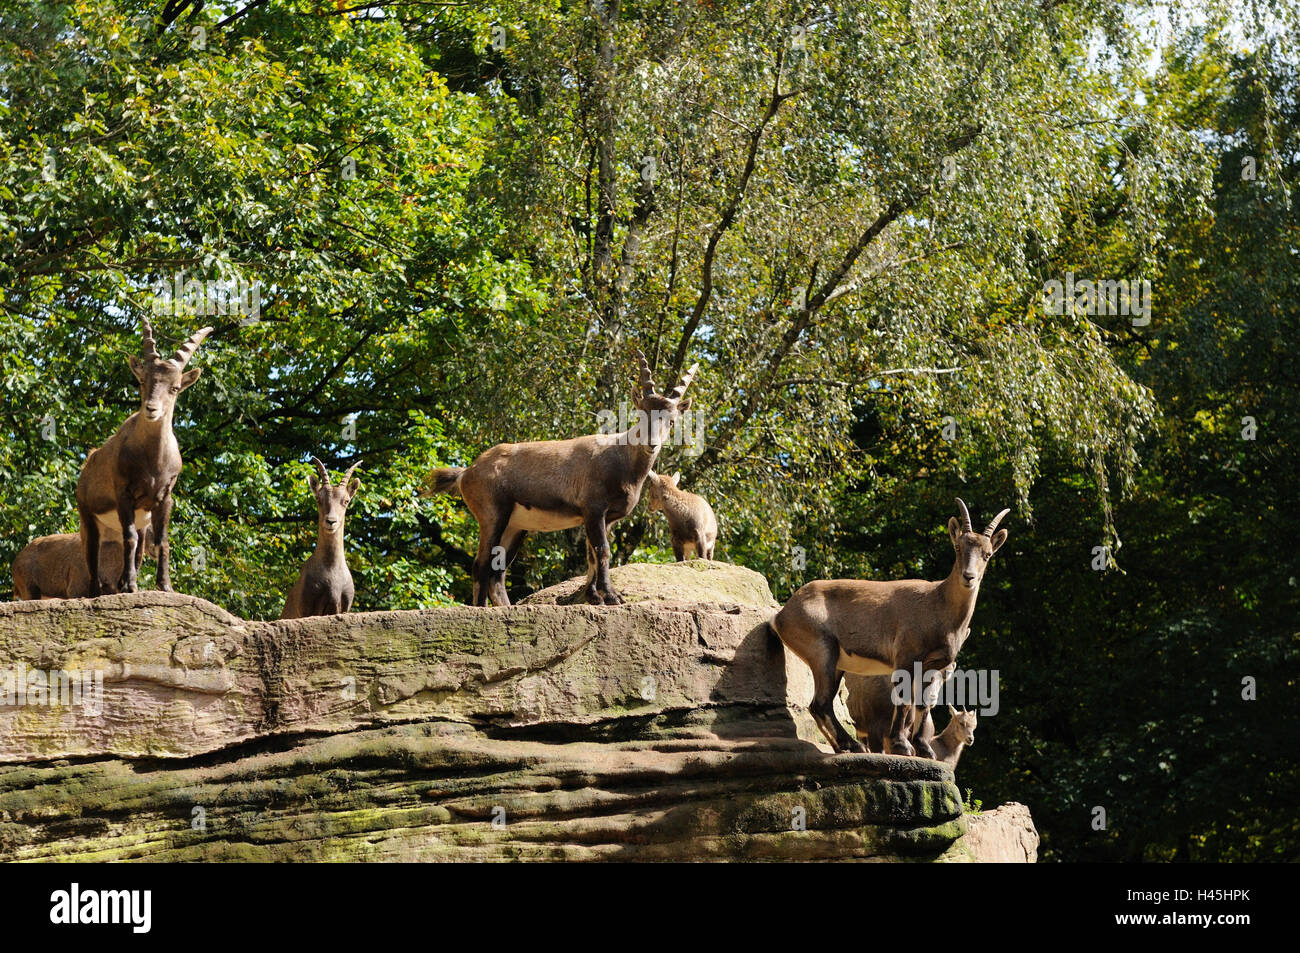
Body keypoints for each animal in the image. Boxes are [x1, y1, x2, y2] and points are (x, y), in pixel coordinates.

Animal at [75, 318, 212, 595]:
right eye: (142, 382)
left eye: (175, 387)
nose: (151, 409)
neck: (153, 463)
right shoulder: (123, 494)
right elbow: (129, 537)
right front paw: (132, 586)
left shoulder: (165, 499)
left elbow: (162, 541)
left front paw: (165, 585)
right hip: (88, 518)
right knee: (94, 556)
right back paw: (101, 590)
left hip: (138, 523)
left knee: (137, 547)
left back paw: (122, 582)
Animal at [280, 458, 361, 620]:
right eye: (318, 498)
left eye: (346, 501)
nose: (331, 521)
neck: (331, 570)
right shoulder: (306, 607)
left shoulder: (344, 606)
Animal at [424, 351, 699, 606]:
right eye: (642, 414)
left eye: (671, 421)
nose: (652, 444)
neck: (621, 460)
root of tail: (467, 472)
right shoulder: (593, 509)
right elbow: (602, 551)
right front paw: (611, 596)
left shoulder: (606, 518)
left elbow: (591, 555)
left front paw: (593, 596)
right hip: (492, 514)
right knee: (480, 565)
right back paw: (481, 609)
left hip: (515, 526)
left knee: (497, 572)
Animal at [770, 499, 1008, 755]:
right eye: (957, 548)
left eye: (987, 554)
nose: (969, 577)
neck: (938, 604)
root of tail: (782, 614)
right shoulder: (905, 656)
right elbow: (903, 701)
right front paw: (901, 745)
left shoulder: (931, 665)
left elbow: (920, 705)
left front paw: (923, 749)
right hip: (822, 651)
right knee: (820, 703)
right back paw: (852, 745)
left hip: (835, 663)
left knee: (820, 705)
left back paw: (843, 747)